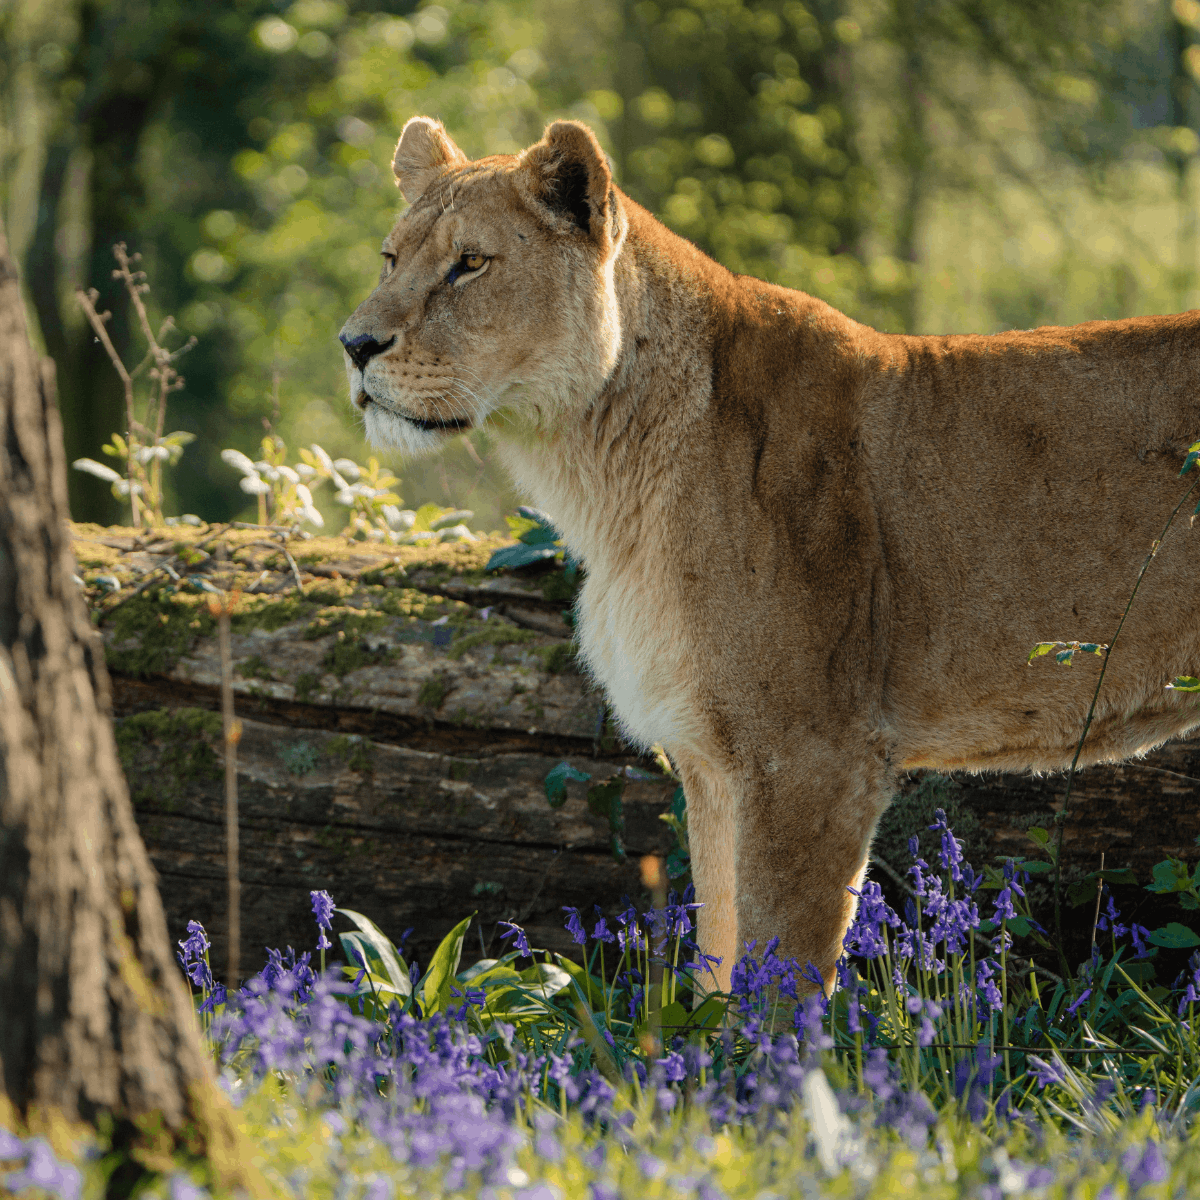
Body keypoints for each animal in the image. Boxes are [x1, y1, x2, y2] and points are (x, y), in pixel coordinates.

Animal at [338, 115, 1200, 994]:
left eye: (471, 263)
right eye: (391, 257)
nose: (354, 344)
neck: (601, 476)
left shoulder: (809, 757)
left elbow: (778, 981)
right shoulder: (711, 760)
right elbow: (720, 965)